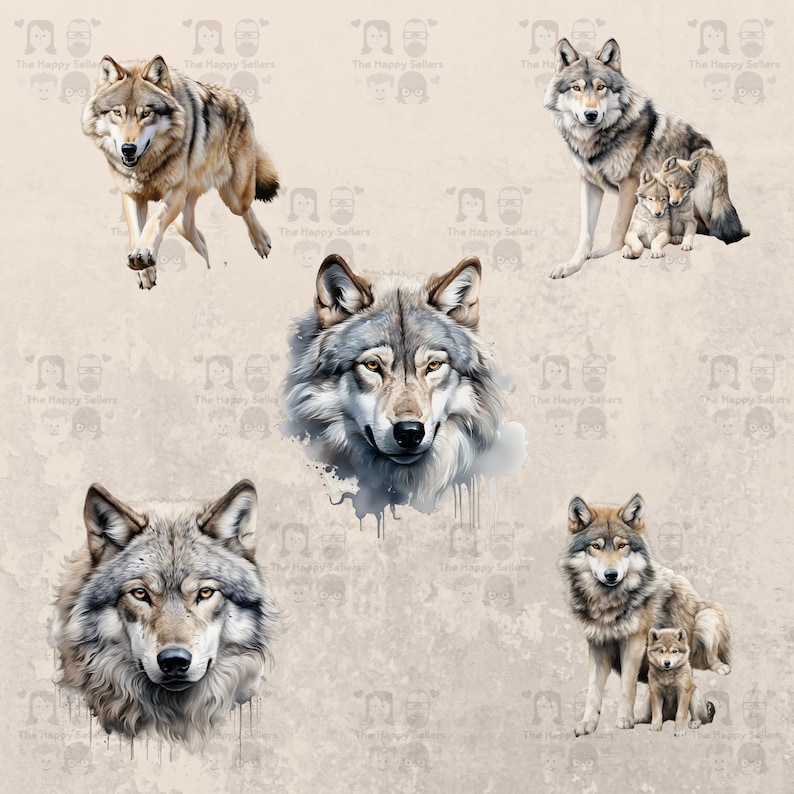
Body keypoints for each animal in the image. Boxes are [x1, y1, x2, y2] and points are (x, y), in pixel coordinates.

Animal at [82, 55, 279, 289]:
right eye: (117, 112)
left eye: (146, 113)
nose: (128, 149)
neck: (147, 165)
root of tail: (238, 99)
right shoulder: (131, 194)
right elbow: (136, 231)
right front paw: (144, 271)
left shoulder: (174, 191)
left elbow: (154, 220)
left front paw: (143, 253)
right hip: (189, 201)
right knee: (188, 228)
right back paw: (207, 259)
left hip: (234, 196)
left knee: (246, 209)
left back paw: (261, 242)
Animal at [544, 38, 748, 278]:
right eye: (576, 87)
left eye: (601, 87)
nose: (591, 115)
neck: (598, 139)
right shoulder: (589, 184)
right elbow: (585, 232)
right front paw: (572, 264)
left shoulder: (629, 183)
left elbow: (618, 225)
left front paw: (612, 251)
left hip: (700, 178)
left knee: (706, 226)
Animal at [558, 493, 732, 736]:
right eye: (596, 546)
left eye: (622, 545)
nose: (611, 575)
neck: (608, 602)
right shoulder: (598, 644)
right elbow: (593, 689)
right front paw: (588, 723)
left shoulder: (634, 642)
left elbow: (627, 687)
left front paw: (624, 720)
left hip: (708, 615)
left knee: (711, 657)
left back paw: (721, 667)